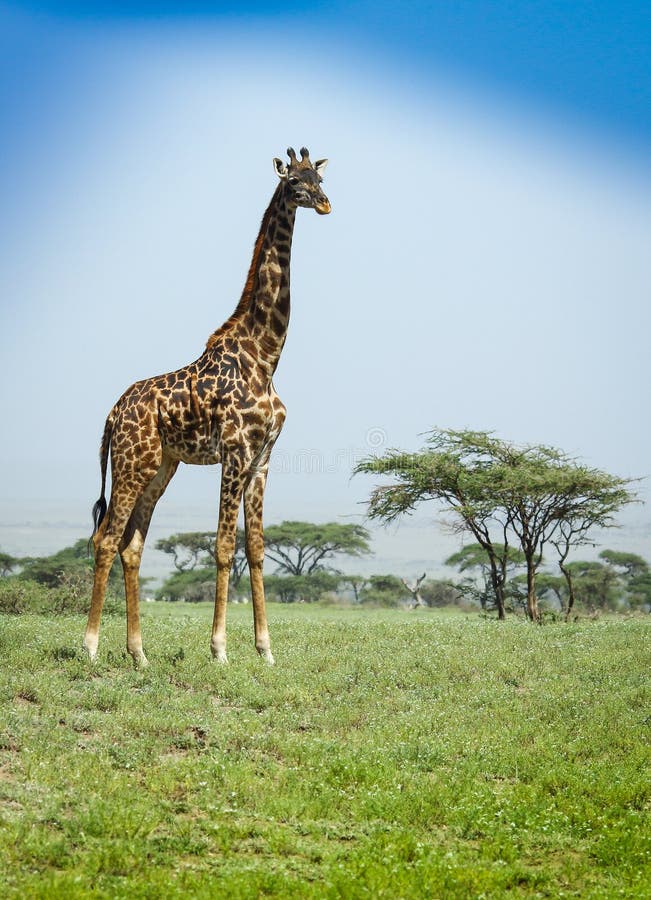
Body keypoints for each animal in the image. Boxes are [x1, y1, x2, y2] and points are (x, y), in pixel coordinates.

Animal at [83, 147, 330, 668]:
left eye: (319, 178)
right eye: (294, 182)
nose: (324, 203)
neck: (266, 355)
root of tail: (112, 415)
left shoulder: (263, 457)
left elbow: (255, 547)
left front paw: (265, 649)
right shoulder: (235, 451)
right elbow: (222, 546)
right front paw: (219, 649)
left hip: (161, 466)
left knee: (132, 546)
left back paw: (139, 654)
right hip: (132, 463)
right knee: (106, 539)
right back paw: (90, 646)